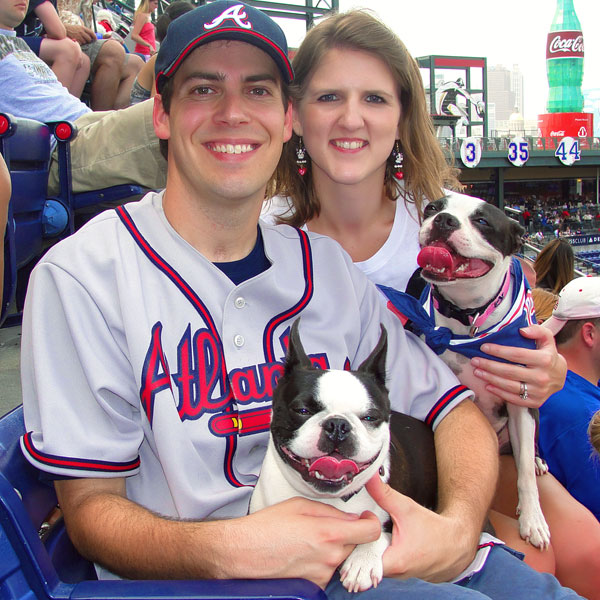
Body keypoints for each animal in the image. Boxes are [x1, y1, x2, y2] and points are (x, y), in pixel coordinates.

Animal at [248, 318, 436, 592]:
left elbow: (380, 530)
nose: (337, 425)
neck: (327, 499)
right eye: (302, 410)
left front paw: (363, 559)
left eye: (369, 417)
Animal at [384, 191, 548, 548]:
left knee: (527, 451)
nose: (445, 220)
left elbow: (525, 475)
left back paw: (538, 460)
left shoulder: (519, 400)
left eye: (482, 221)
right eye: (433, 208)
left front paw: (533, 518)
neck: (467, 315)